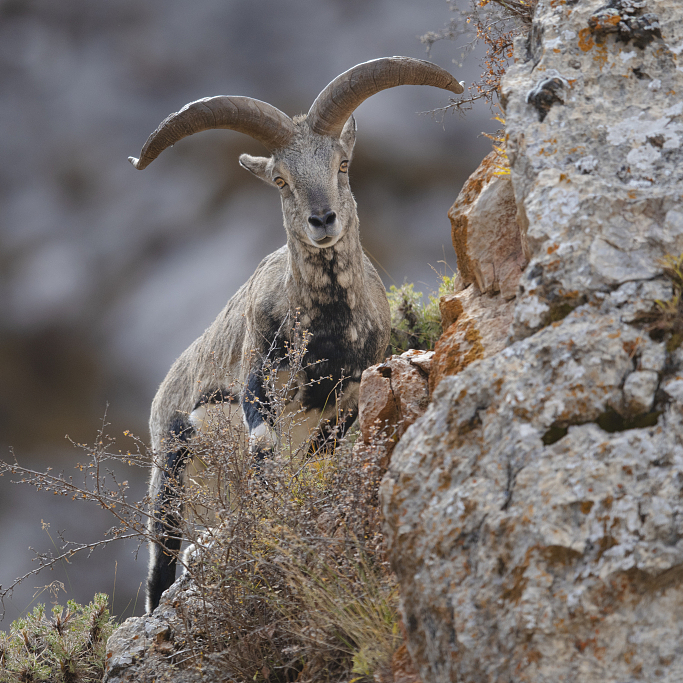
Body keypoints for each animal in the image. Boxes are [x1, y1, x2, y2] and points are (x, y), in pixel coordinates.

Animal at [129, 56, 463, 612]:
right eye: (281, 179)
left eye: (342, 165)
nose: (322, 219)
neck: (326, 334)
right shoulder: (257, 381)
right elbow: (264, 446)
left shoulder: (346, 403)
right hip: (170, 468)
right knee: (161, 566)